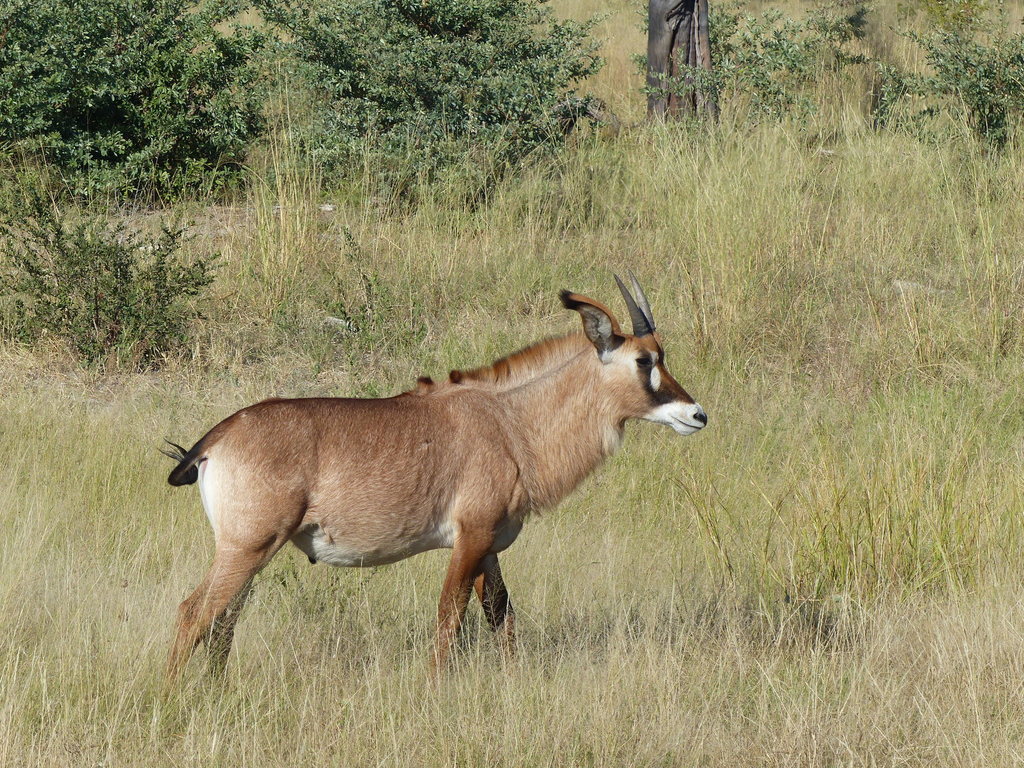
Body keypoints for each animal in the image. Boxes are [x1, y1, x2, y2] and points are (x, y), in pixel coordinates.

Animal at [163, 275, 707, 679]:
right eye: (643, 359)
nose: (696, 414)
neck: (509, 422)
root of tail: (219, 436)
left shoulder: (489, 547)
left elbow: (502, 619)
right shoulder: (471, 538)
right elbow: (450, 618)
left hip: (253, 552)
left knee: (223, 622)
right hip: (248, 546)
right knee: (194, 612)